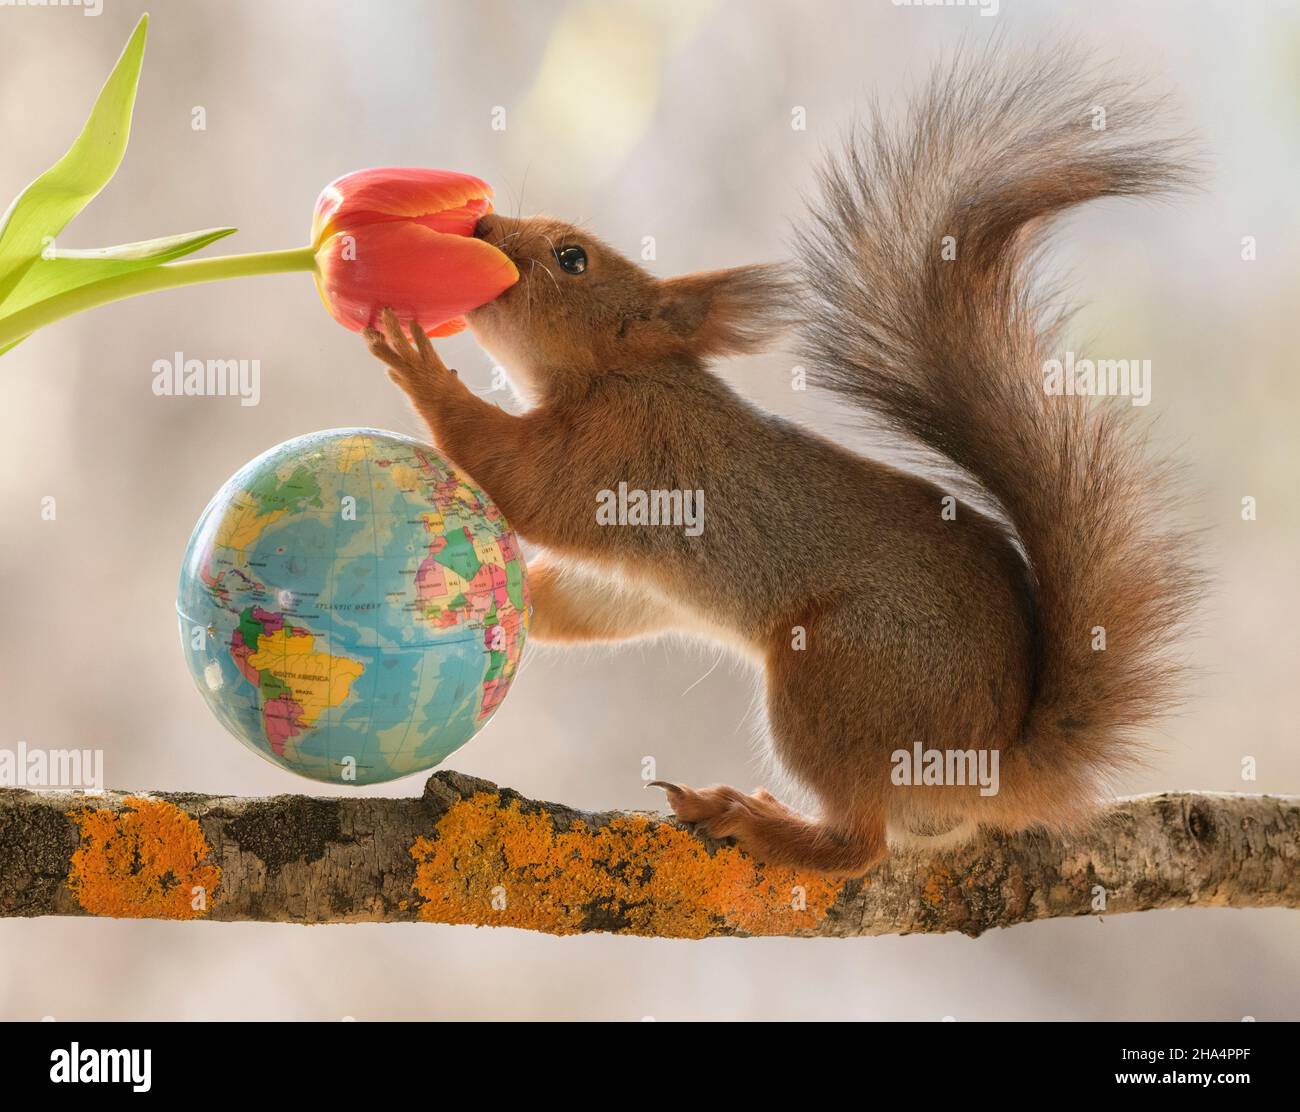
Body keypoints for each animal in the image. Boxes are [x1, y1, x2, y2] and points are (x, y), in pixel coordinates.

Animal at [363, 48, 1202, 877]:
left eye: (571, 258)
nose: (480, 222)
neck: (619, 374)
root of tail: (986, 767)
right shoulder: (633, 572)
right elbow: (587, 598)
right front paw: (491, 602)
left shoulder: (620, 454)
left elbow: (516, 478)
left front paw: (417, 364)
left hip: (835, 674)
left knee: (857, 846)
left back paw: (748, 818)